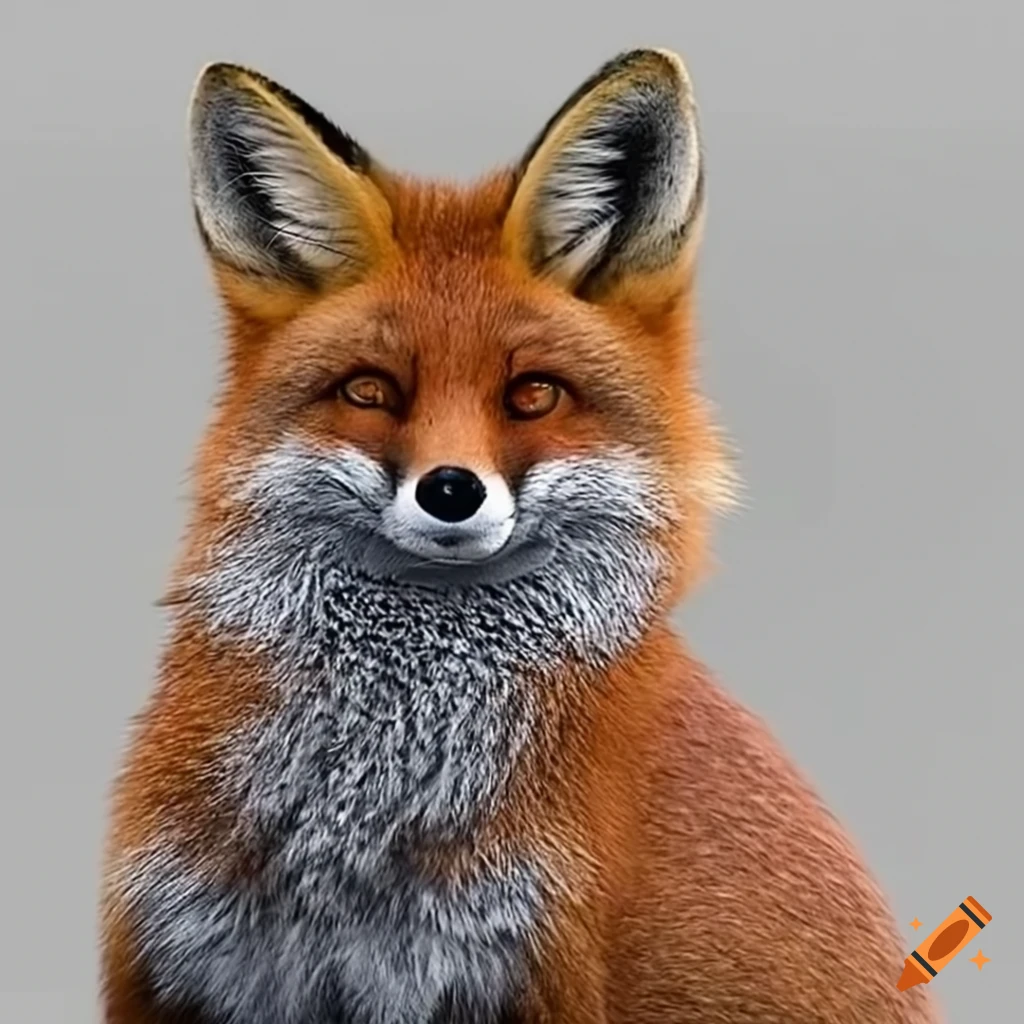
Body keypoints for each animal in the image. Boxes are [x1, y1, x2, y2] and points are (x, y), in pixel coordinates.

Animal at [99, 47, 941, 1024]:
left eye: (533, 394)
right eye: (371, 390)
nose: (451, 490)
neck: (358, 828)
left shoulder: (534, 971)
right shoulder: (172, 966)